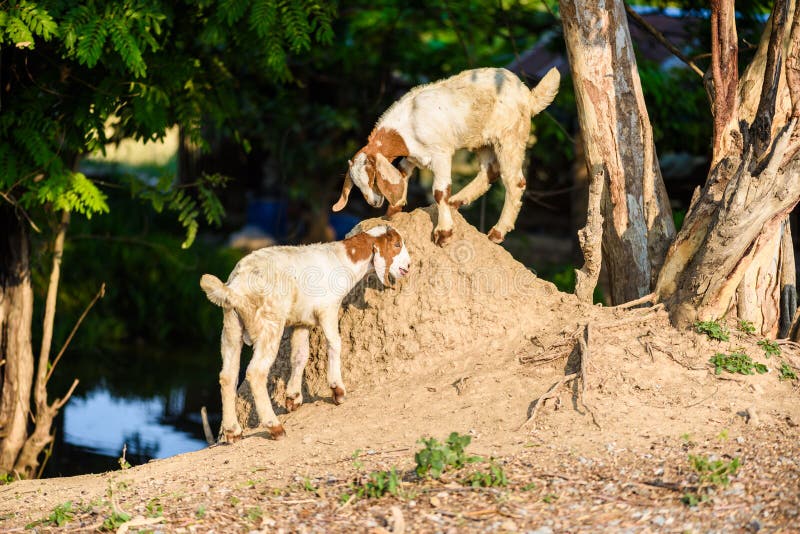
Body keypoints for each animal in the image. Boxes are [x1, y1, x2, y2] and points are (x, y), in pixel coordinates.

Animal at [200, 225, 411, 443]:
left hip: (231, 326)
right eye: (397, 244)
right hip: (270, 324)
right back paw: (274, 427)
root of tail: (236, 288)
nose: (408, 267)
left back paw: (232, 431)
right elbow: (335, 343)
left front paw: (293, 397)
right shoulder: (328, 309)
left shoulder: (302, 321)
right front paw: (337, 390)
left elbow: (299, 356)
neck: (343, 259)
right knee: (256, 372)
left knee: (227, 376)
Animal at [332, 67, 560, 246]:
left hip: (510, 137)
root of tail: (528, 97)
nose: (373, 203)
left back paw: (497, 232)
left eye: (372, 179)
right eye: (356, 185)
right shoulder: (415, 156)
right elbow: (403, 172)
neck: (408, 124)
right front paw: (393, 211)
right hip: (483, 141)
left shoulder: (440, 154)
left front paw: (443, 234)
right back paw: (457, 201)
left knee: (515, 182)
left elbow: (439, 191)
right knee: (489, 171)